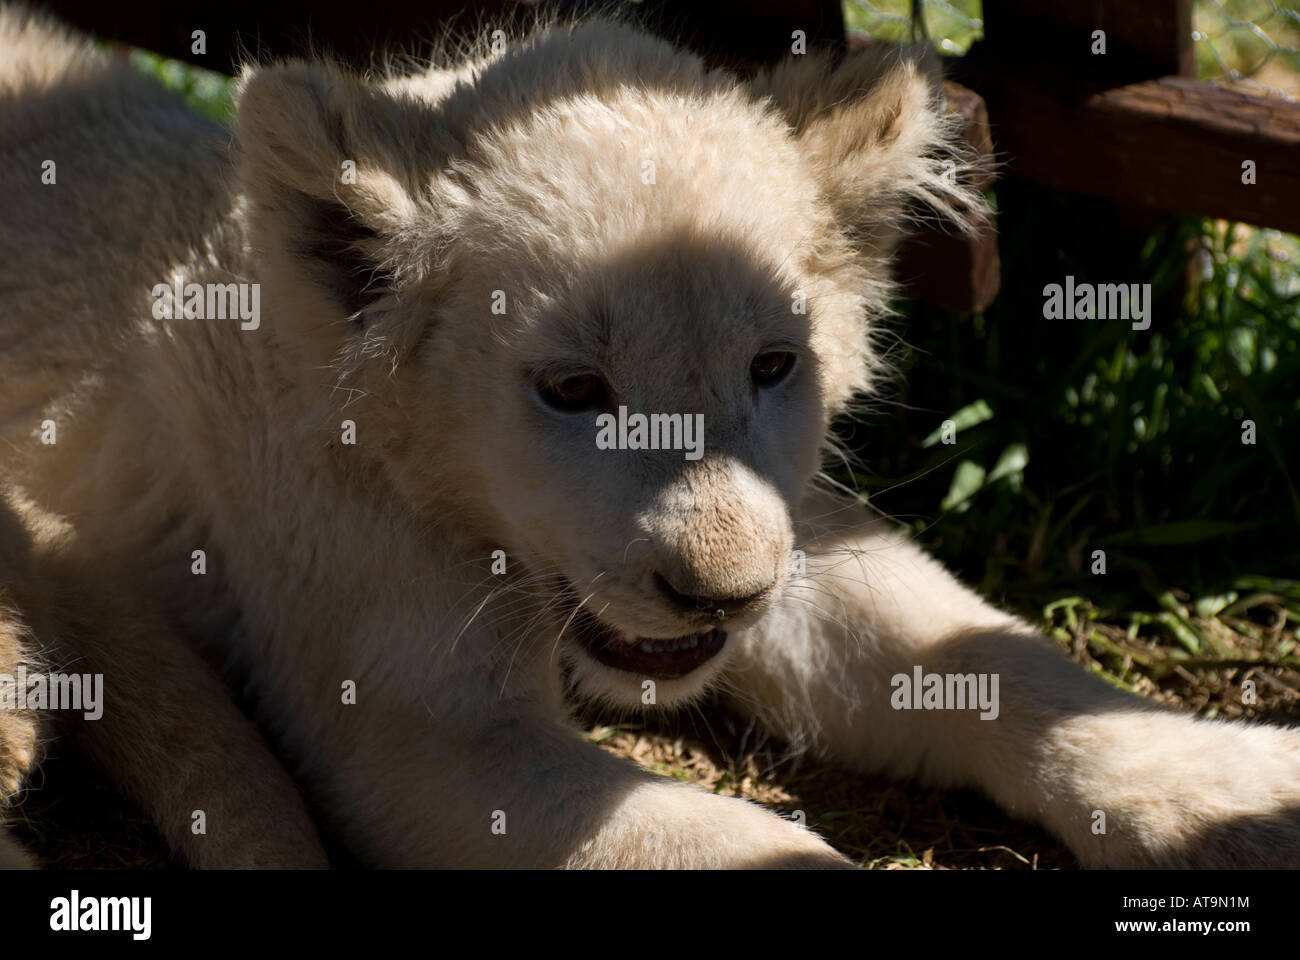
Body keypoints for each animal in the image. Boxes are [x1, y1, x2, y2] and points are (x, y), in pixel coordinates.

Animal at [2, 4, 1298, 868]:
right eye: (573, 388)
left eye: (773, 365)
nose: (722, 596)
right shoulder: (425, 732)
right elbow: (723, 840)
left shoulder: (799, 544)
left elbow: (984, 653)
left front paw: (1237, 798)